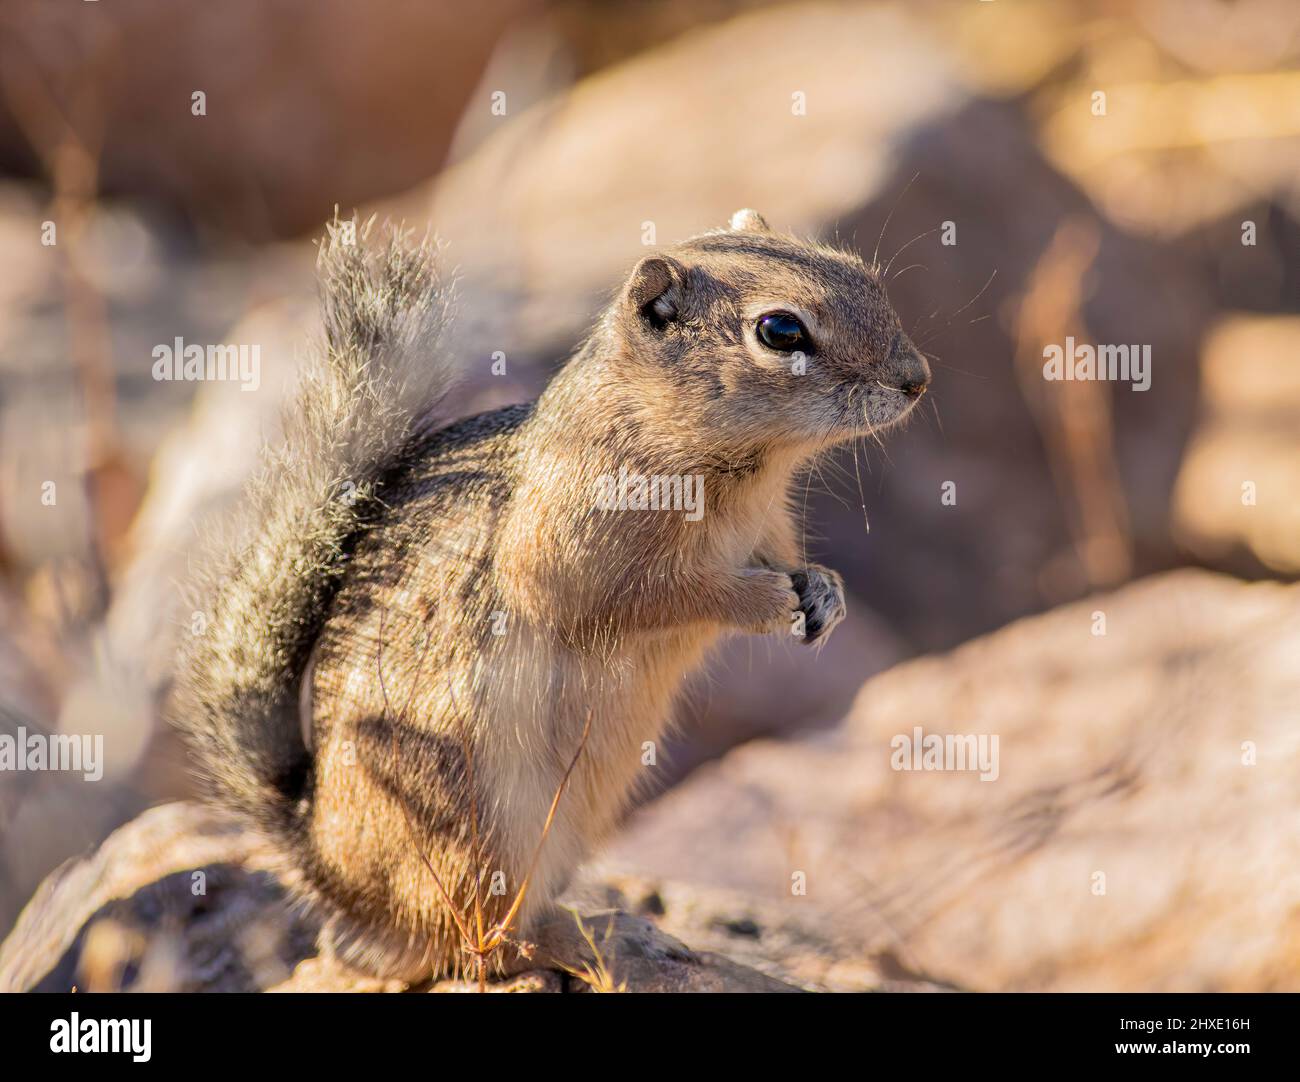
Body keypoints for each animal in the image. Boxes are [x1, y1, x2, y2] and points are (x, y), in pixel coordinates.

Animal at [170, 208, 930, 981]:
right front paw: (764, 603)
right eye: (780, 331)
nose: (917, 381)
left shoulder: (769, 524)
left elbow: (787, 561)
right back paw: (602, 936)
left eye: (857, 269)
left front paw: (824, 594)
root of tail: (327, 869)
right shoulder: (576, 563)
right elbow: (668, 595)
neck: (734, 468)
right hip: (486, 831)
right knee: (482, 944)